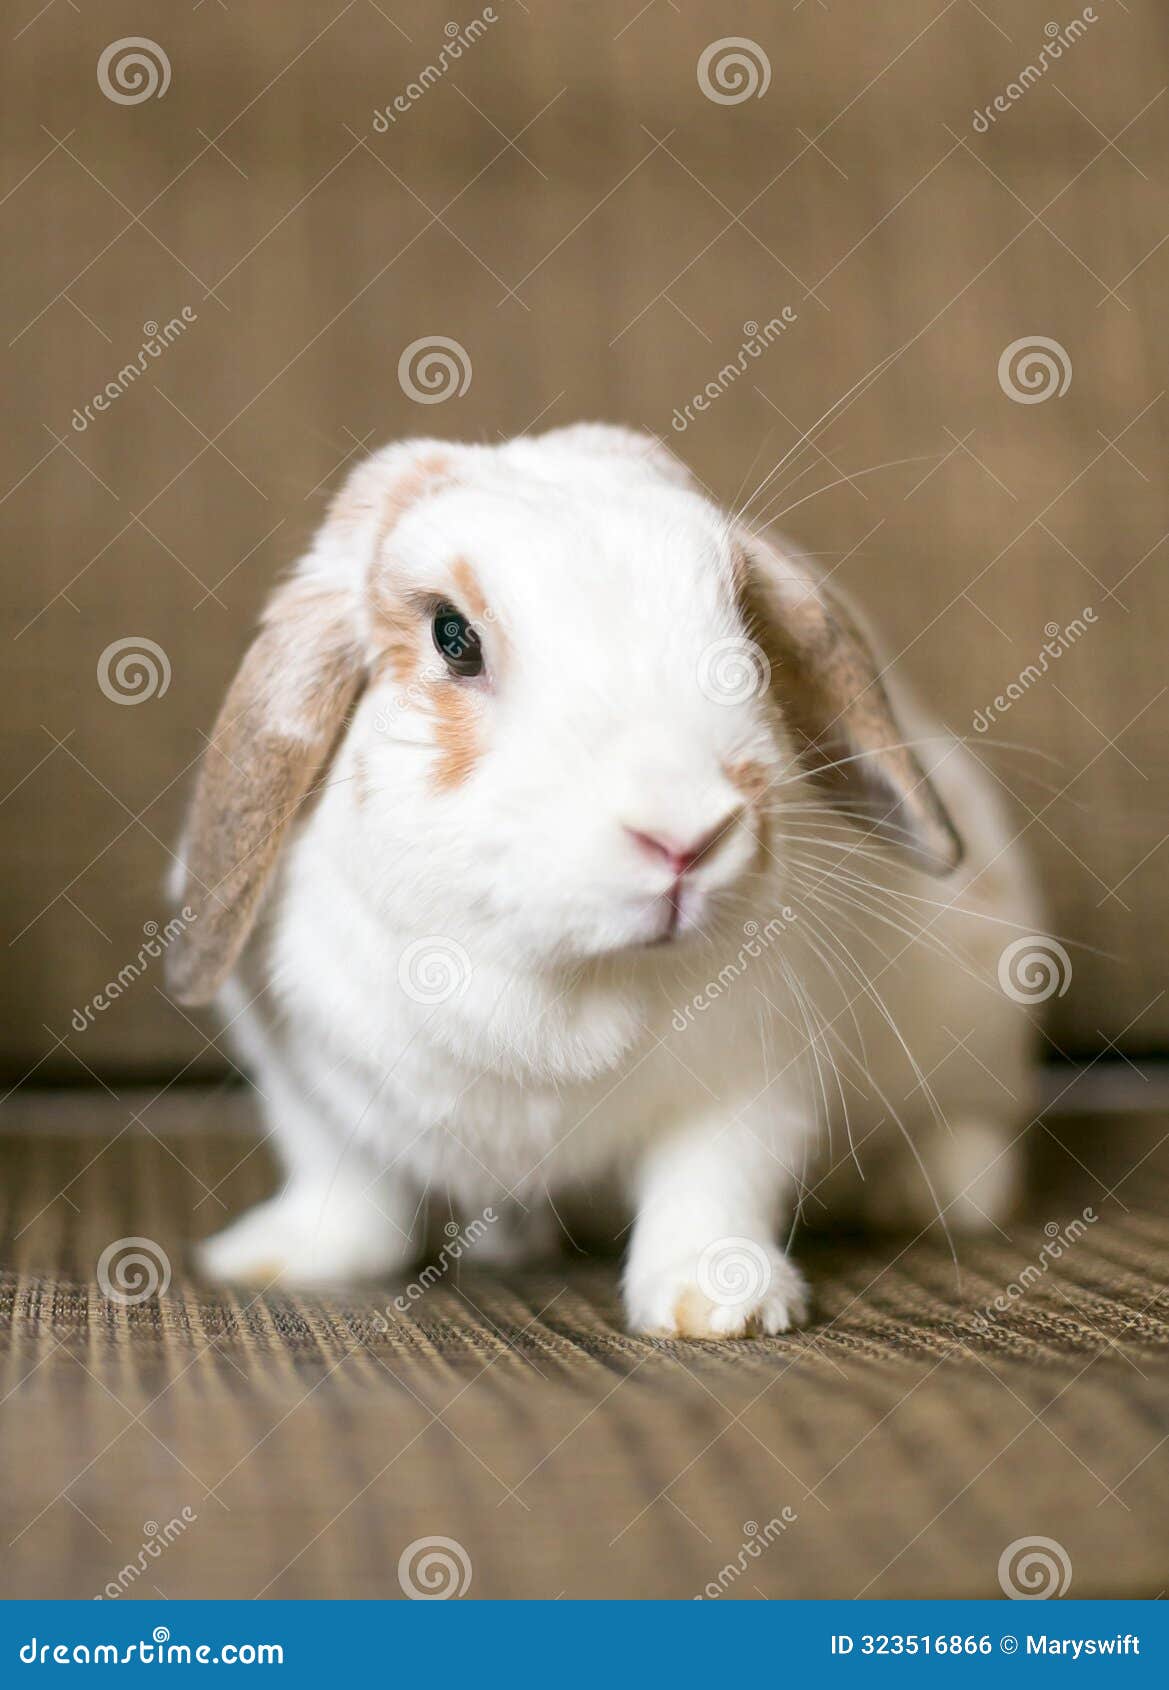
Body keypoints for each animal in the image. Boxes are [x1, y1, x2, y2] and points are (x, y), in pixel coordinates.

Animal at [168, 423, 1038, 1338]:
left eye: (747, 631)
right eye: (453, 637)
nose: (687, 835)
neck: (554, 978)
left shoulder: (755, 1082)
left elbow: (714, 1182)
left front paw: (719, 1305)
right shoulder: (307, 1082)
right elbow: (350, 1191)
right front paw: (273, 1260)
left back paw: (933, 1195)